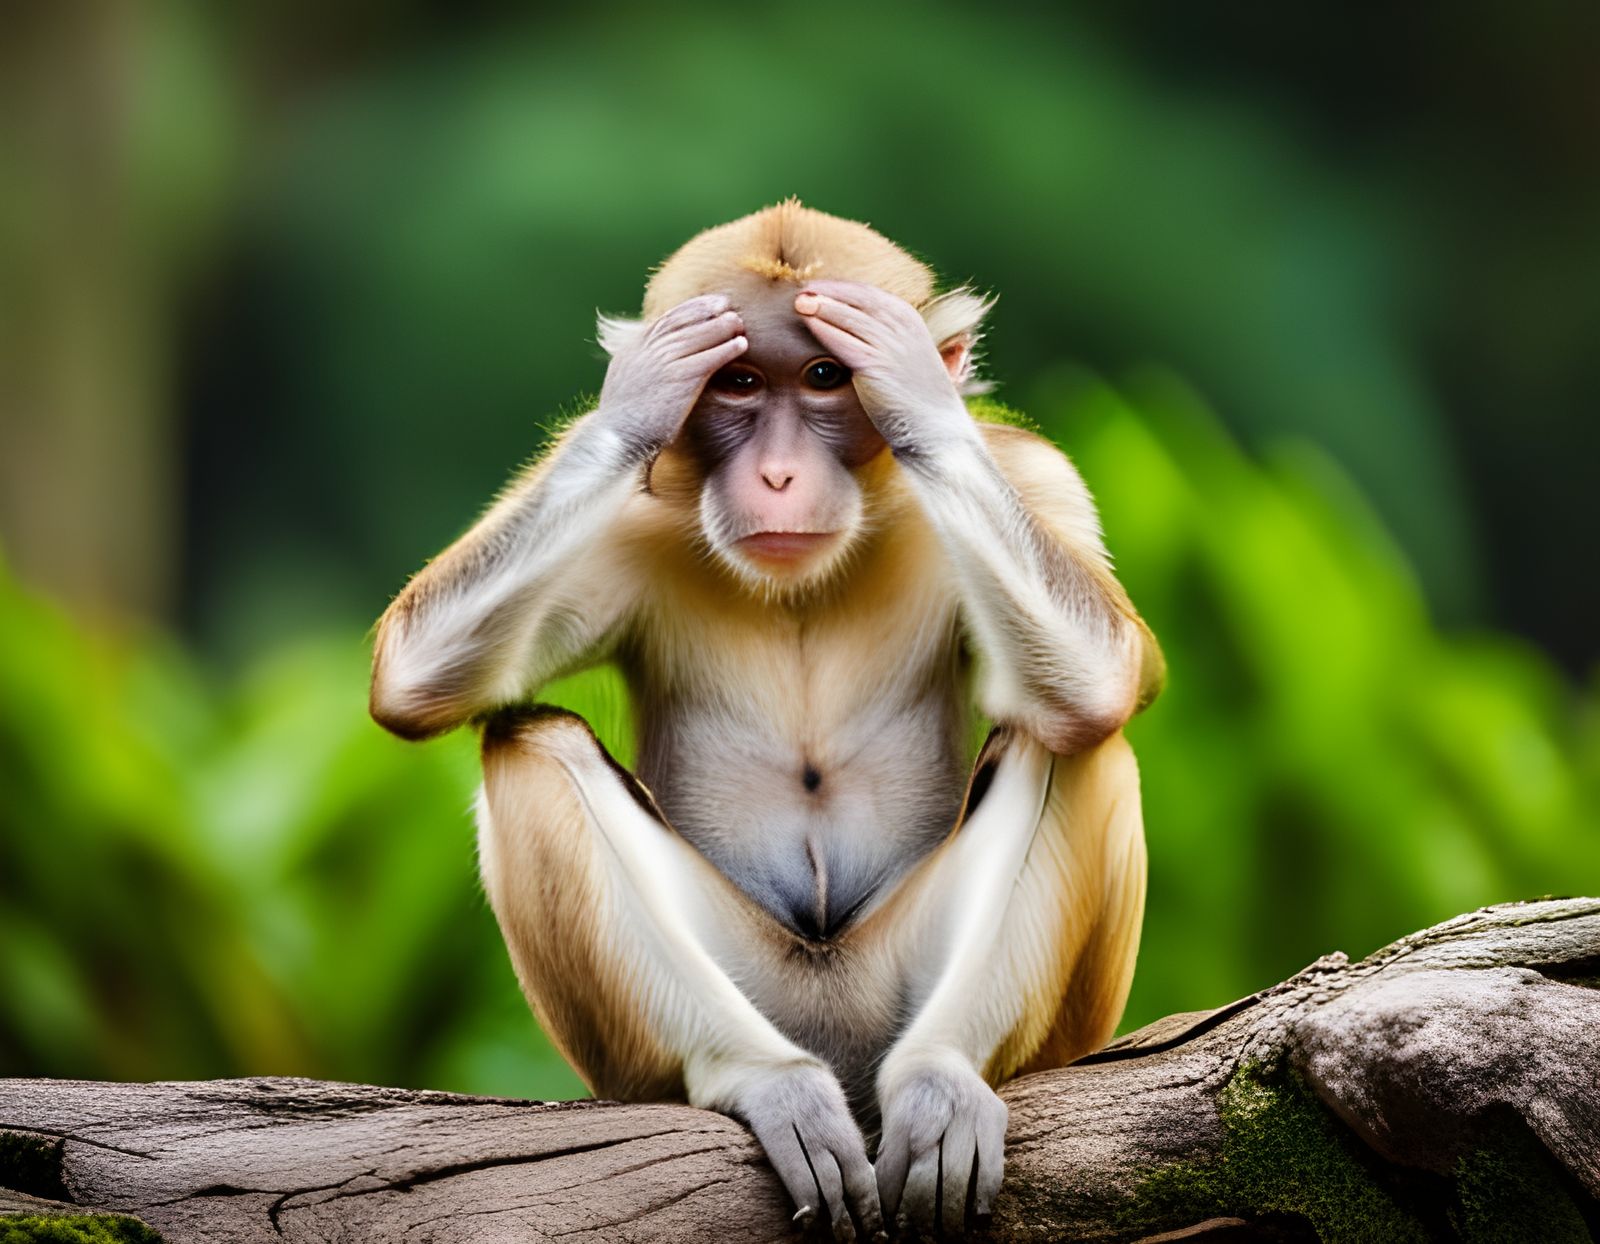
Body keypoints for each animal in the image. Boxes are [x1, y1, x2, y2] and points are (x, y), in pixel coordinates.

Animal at [370, 198, 1163, 1238]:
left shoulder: (1038, 480)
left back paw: (942, 1076)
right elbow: (411, 677)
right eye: (740, 382)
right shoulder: (624, 517)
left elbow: (1107, 676)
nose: (779, 475)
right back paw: (763, 1077)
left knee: (1072, 732)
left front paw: (908, 377)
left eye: (825, 377)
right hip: (729, 1008)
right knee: (529, 742)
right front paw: (642, 391)